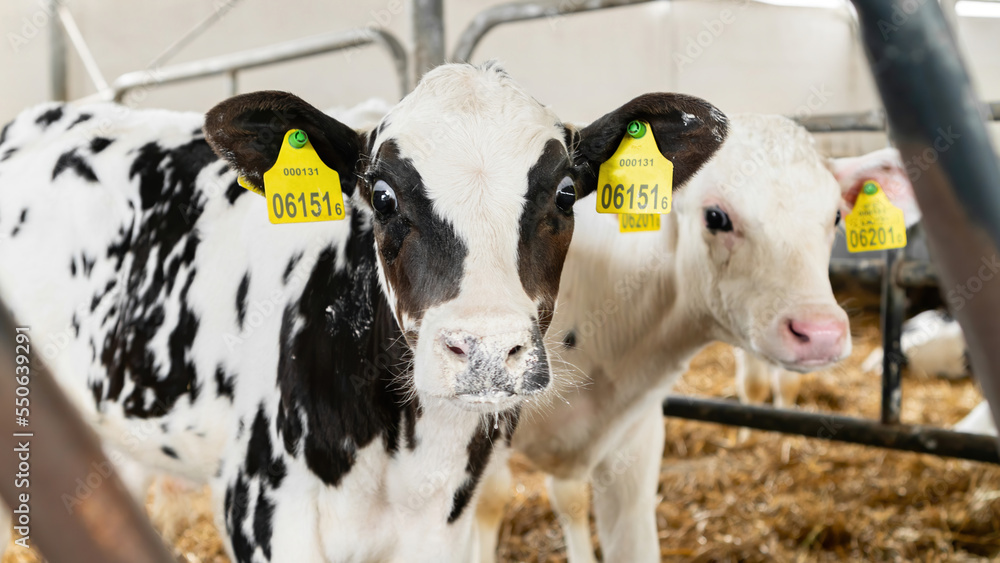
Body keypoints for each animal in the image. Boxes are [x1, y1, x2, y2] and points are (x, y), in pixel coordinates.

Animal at [0, 62, 727, 561]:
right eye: (380, 195)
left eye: (567, 192)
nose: (487, 351)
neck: (401, 446)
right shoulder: (263, 511)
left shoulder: (445, 524)